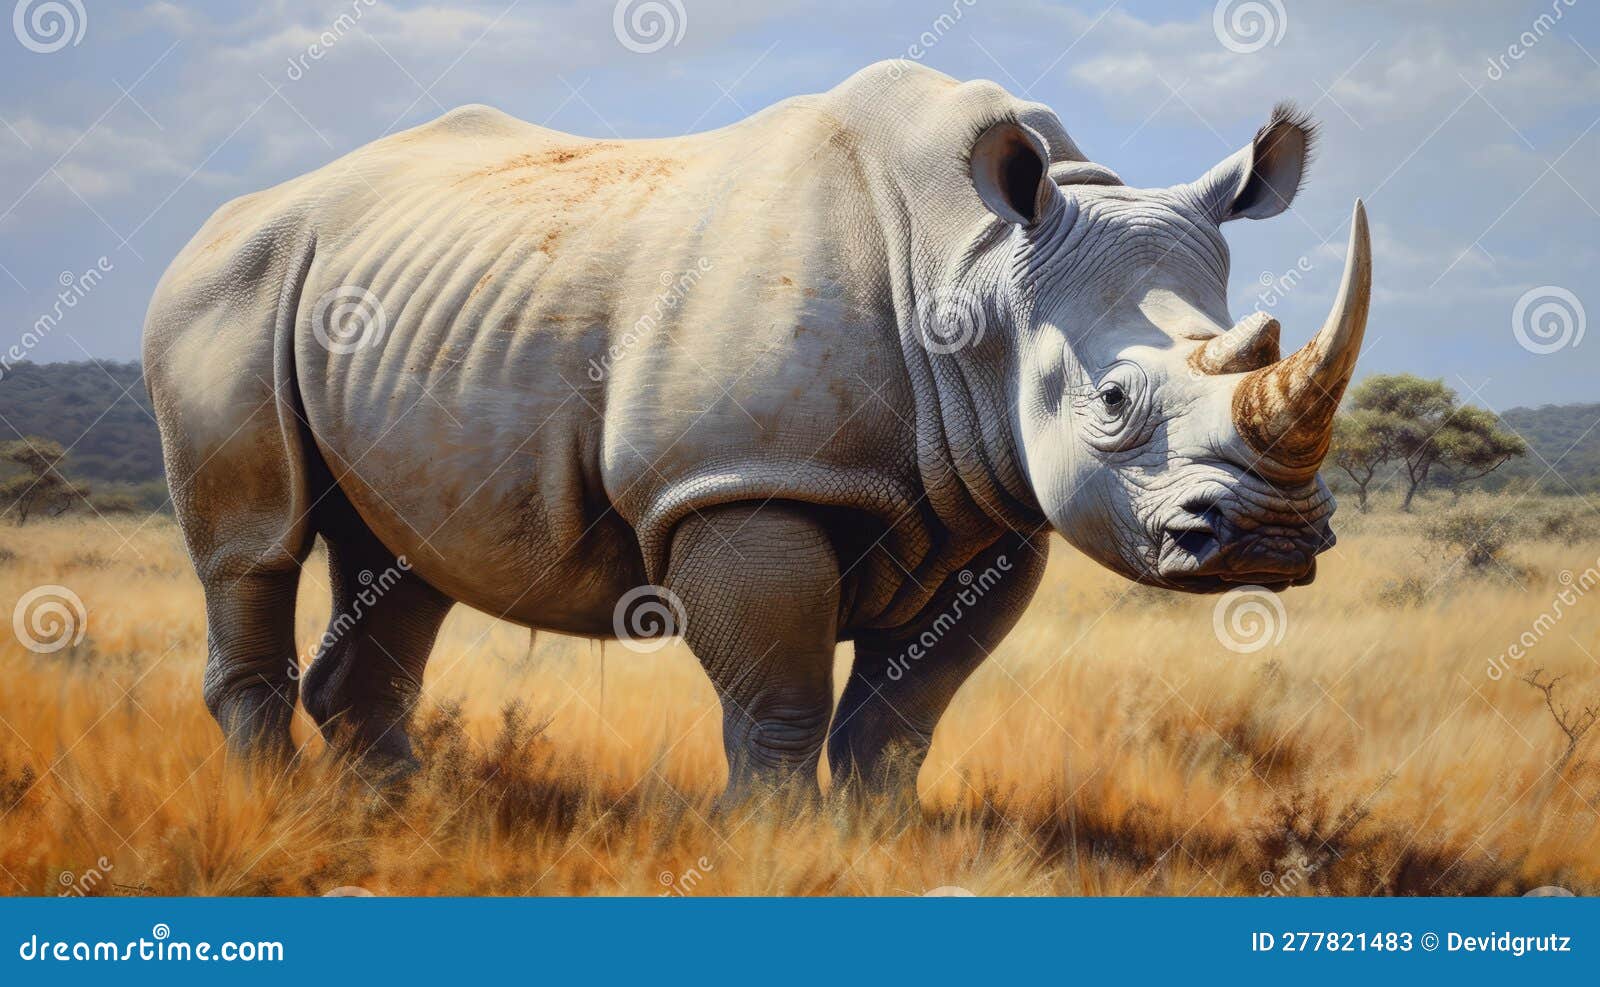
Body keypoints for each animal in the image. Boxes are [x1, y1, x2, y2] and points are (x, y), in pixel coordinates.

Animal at [144, 61, 1369, 800]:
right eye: (1112, 406)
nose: (1269, 537)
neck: (977, 273)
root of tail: (221, 219)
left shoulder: (997, 506)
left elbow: (899, 718)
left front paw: (879, 845)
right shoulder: (741, 479)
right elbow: (779, 704)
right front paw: (772, 846)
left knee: (403, 558)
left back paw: (398, 818)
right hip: (227, 286)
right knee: (253, 546)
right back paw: (276, 811)